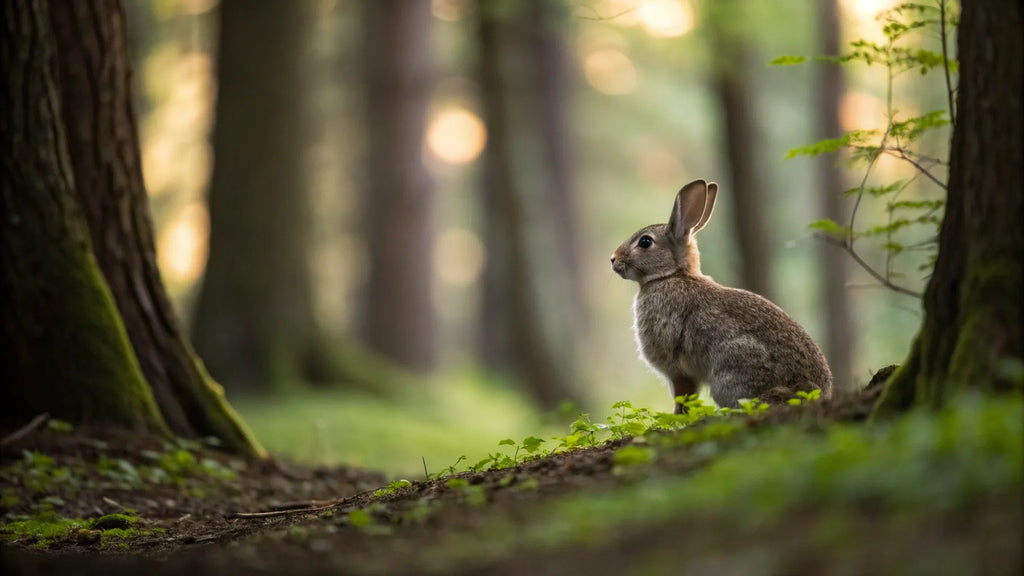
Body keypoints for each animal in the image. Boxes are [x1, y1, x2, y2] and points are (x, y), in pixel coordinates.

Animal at [610, 179, 833, 413]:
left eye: (645, 242)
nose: (613, 259)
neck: (671, 275)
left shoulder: (677, 368)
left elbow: (683, 397)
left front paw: (677, 417)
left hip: (731, 375)